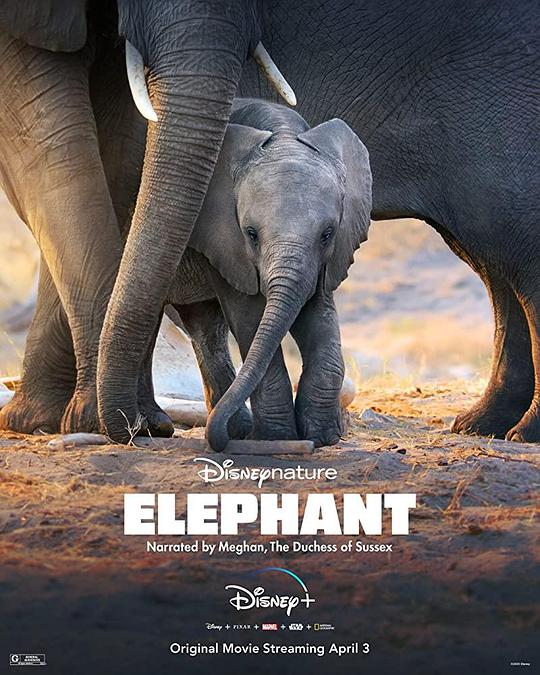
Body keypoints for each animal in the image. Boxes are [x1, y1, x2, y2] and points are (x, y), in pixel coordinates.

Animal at [163, 98, 371, 450]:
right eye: (251, 234)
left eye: (327, 234)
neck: (282, 134)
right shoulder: (224, 238)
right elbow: (250, 317)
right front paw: (278, 438)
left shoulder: (326, 259)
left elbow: (317, 316)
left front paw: (323, 437)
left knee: (204, 326)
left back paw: (236, 430)